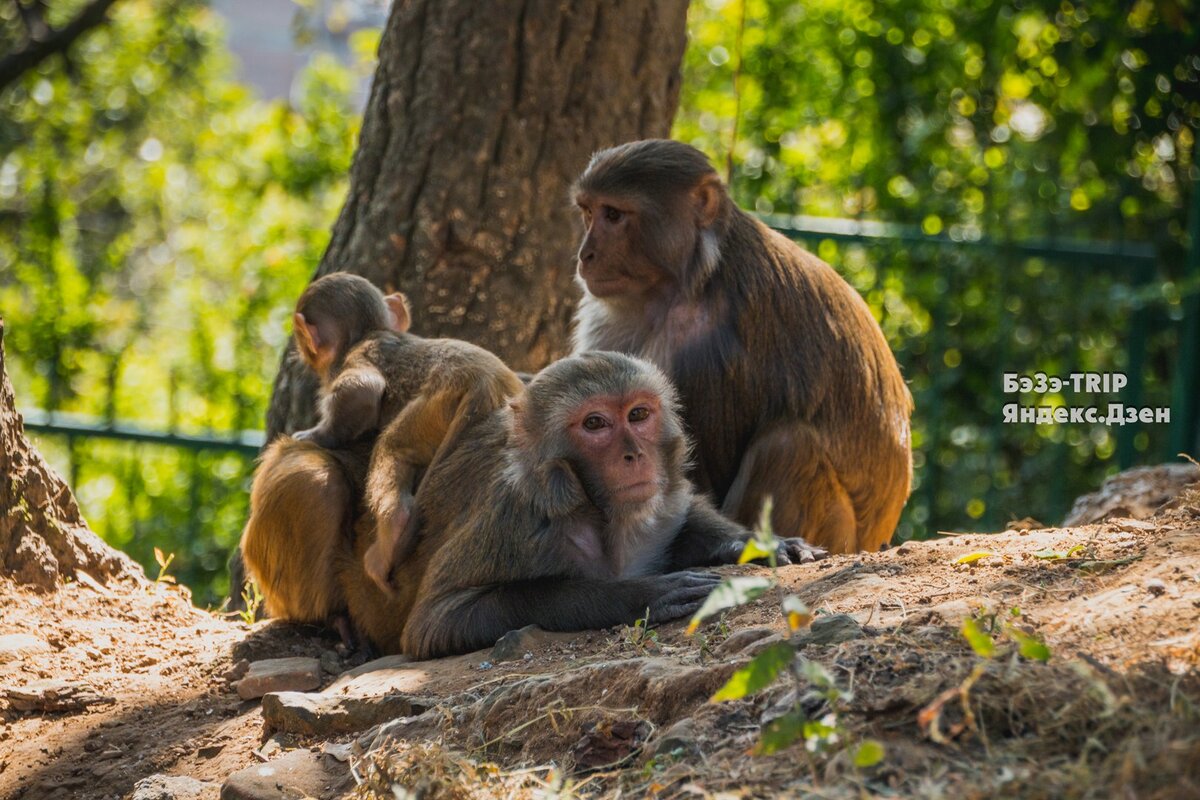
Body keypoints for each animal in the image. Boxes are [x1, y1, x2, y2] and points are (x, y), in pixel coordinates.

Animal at [241, 272, 523, 623]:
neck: (371, 331)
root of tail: (485, 382)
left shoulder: (353, 357)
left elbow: (363, 389)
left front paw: (316, 436)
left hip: (436, 403)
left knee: (392, 446)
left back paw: (394, 531)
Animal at [396, 352, 825, 662]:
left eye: (638, 414)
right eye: (595, 424)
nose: (634, 455)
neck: (600, 513)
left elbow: (687, 513)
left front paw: (760, 544)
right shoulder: (513, 517)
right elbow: (435, 620)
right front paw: (643, 595)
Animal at [568, 139, 907, 556]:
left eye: (613, 214)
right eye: (588, 212)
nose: (585, 255)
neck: (696, 274)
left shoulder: (702, 345)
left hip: (839, 532)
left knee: (788, 444)